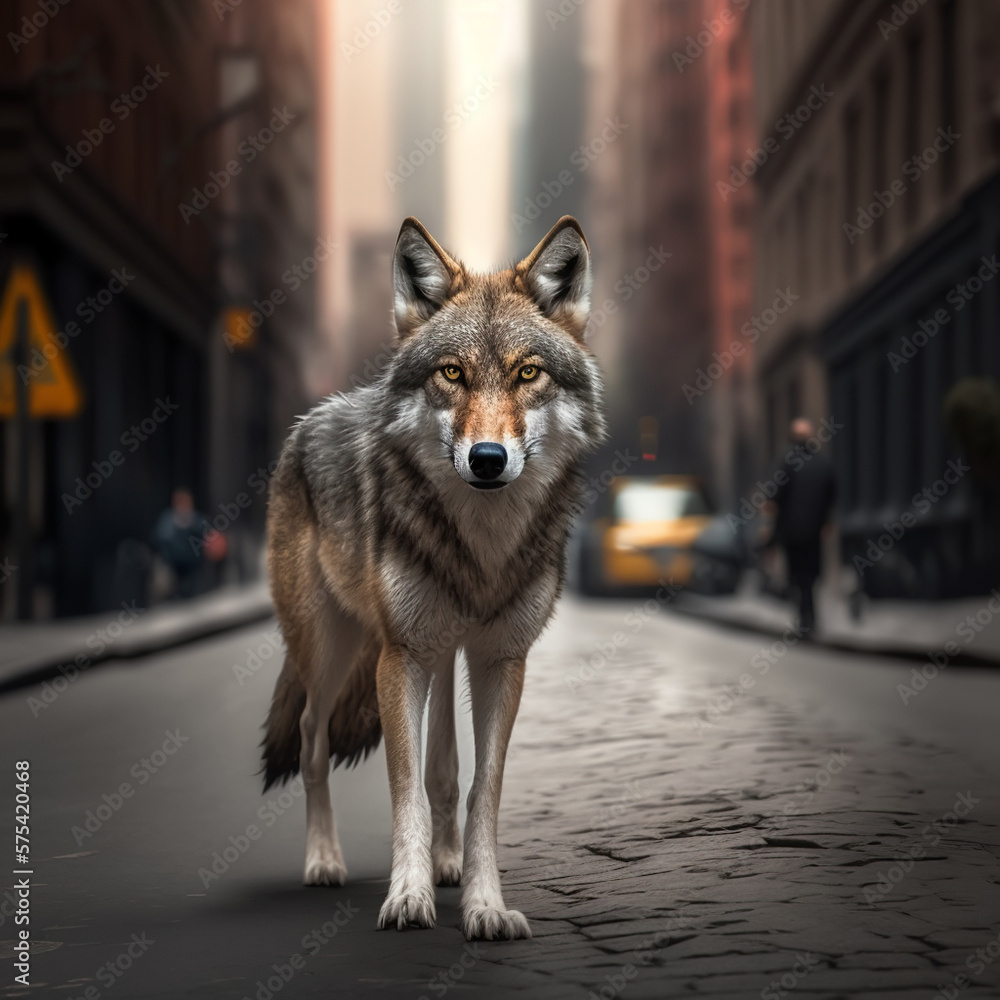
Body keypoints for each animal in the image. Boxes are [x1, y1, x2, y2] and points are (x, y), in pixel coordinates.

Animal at [261, 214, 606, 940]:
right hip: (332, 651)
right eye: (452, 372)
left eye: (527, 373)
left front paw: (484, 905)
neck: (481, 545)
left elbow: (479, 789)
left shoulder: (502, 659)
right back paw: (324, 861)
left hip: (444, 652)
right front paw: (407, 898)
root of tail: (308, 420)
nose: (487, 458)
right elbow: (407, 791)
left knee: (444, 764)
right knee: (310, 740)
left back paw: (447, 865)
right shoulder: (401, 660)